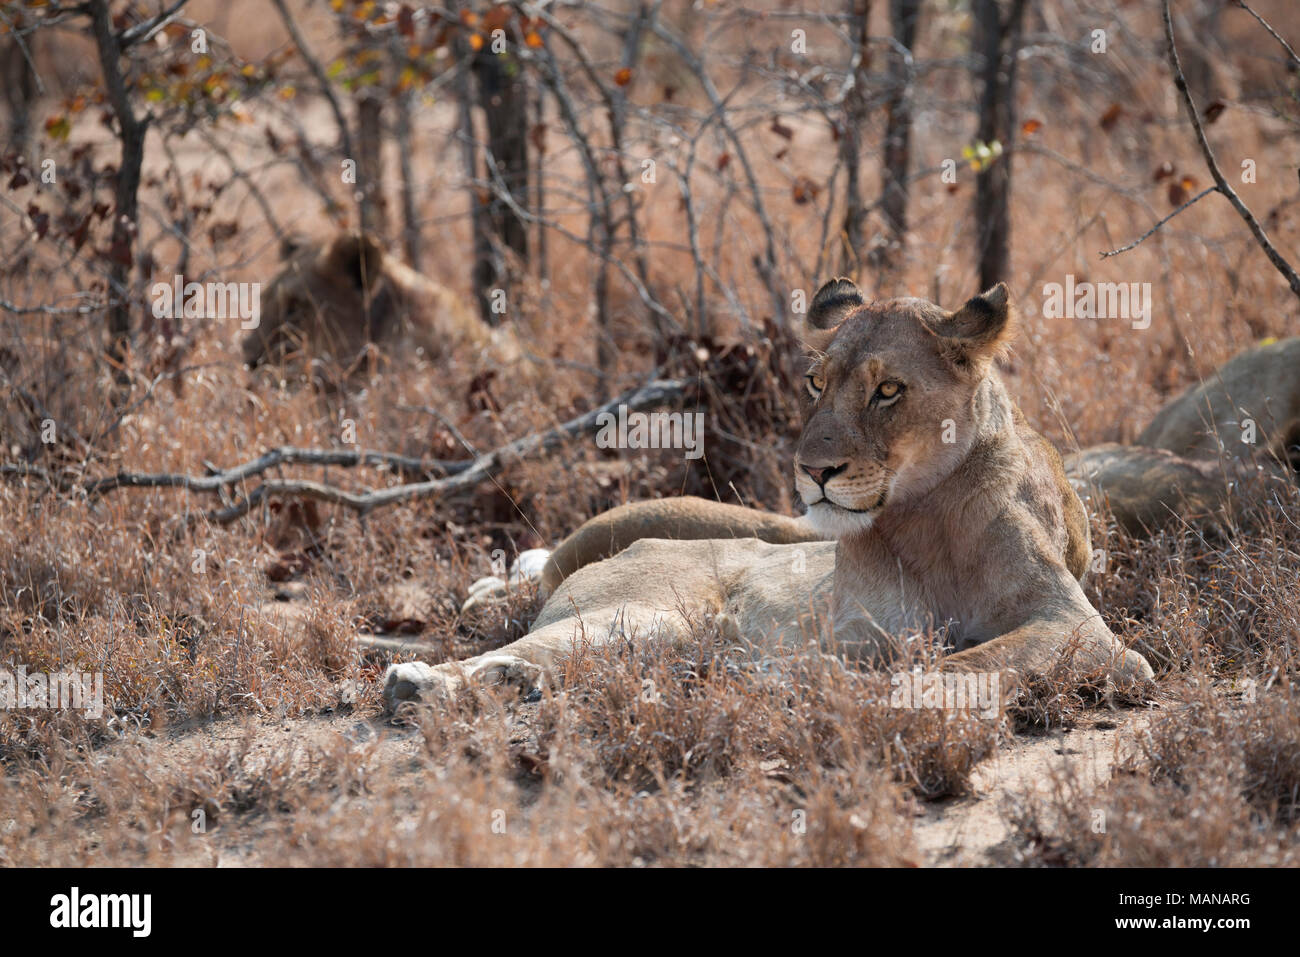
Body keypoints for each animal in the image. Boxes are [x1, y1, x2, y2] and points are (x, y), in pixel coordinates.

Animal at [384, 279, 1154, 708]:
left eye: (887, 390)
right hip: (638, 614)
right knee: (514, 648)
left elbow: (962, 662)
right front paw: (790, 680)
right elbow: (918, 664)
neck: (924, 518)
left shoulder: (1082, 632)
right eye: (816, 381)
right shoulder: (851, 629)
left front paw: (791, 683)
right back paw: (418, 683)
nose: (813, 471)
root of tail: (634, 543)